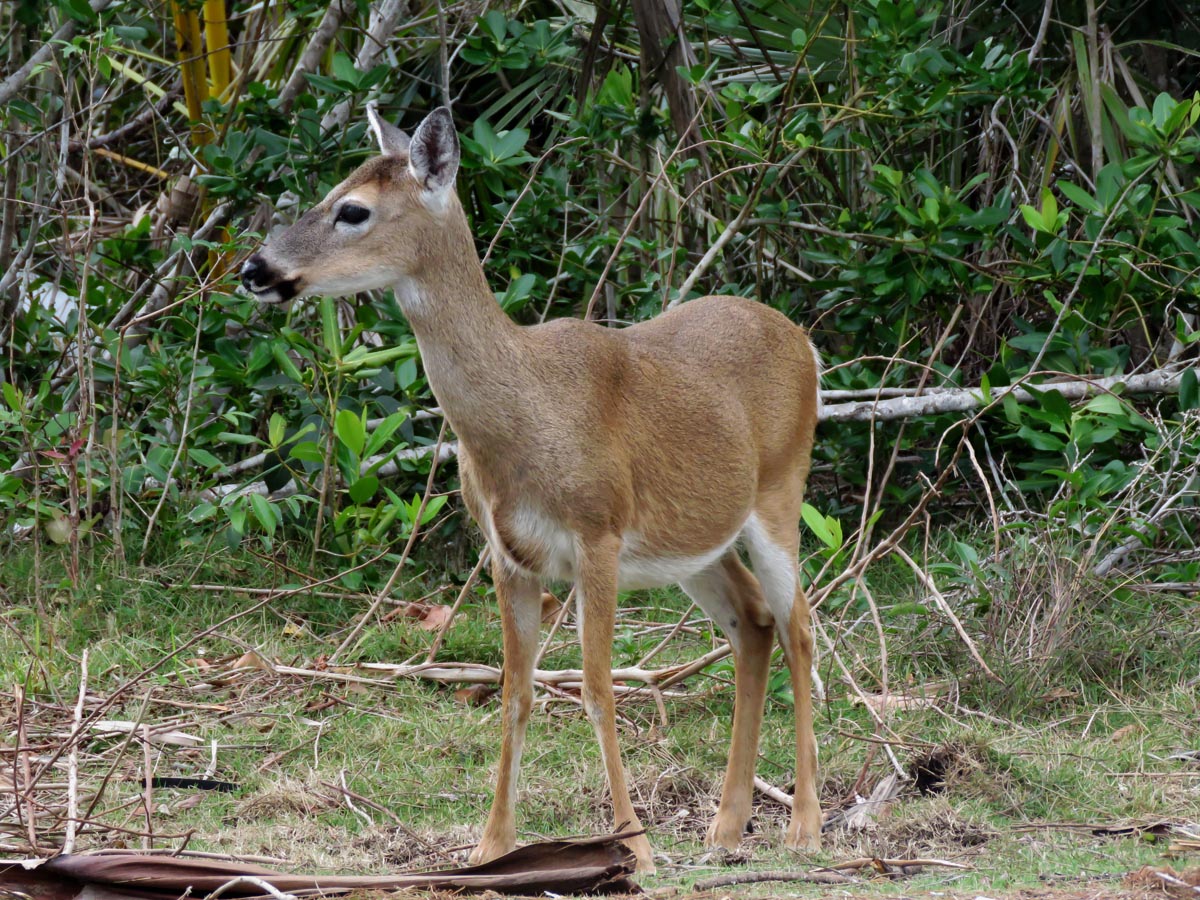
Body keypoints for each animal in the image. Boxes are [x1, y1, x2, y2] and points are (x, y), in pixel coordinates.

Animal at [240, 105, 823, 874]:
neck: (524, 415)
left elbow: (598, 689)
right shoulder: (507, 553)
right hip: (695, 543)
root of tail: (804, 339)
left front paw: (635, 848)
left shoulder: (598, 533)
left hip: (781, 489)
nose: (255, 267)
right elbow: (515, 692)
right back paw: (726, 827)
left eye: (353, 209)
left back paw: (805, 824)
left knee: (797, 625)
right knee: (752, 624)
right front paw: (492, 848)